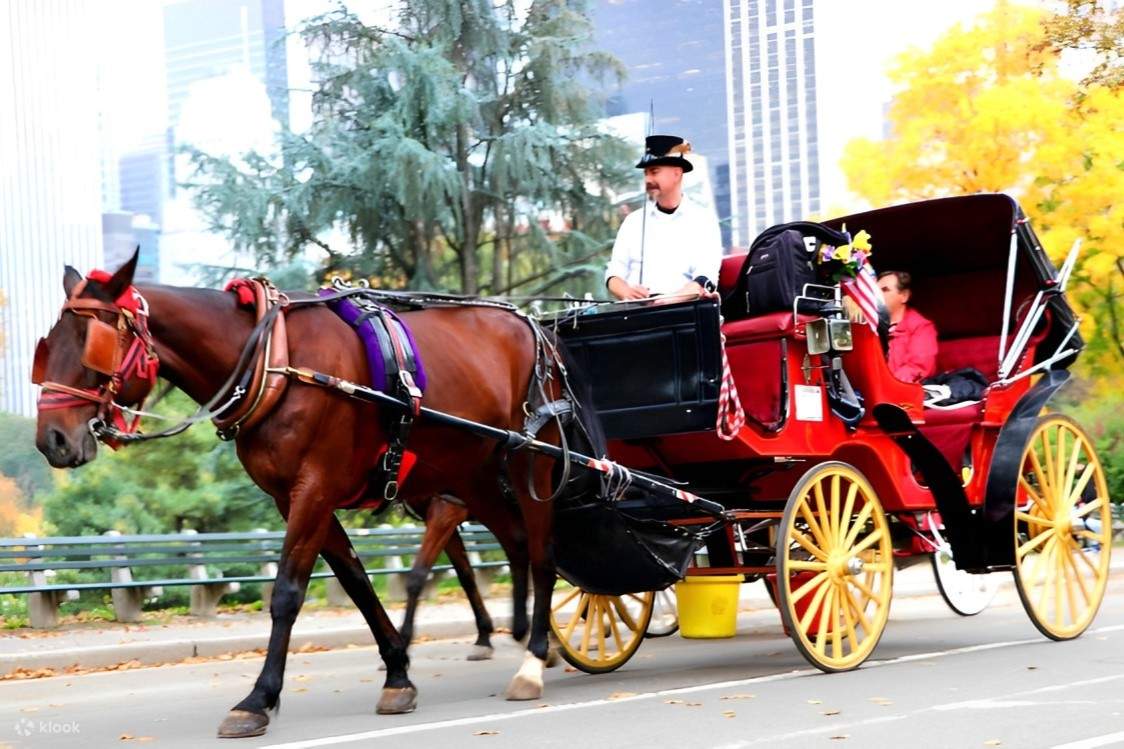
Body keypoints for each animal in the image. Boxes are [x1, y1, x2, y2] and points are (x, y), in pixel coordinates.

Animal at [32, 252, 603, 738]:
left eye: (91, 343)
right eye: (48, 345)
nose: (51, 440)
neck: (275, 362)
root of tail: (535, 327)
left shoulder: (315, 488)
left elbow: (288, 592)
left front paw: (258, 699)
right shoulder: (295, 497)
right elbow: (357, 584)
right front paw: (398, 671)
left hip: (533, 462)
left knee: (542, 553)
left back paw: (533, 659)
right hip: (475, 473)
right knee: (515, 541)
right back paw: (533, 641)